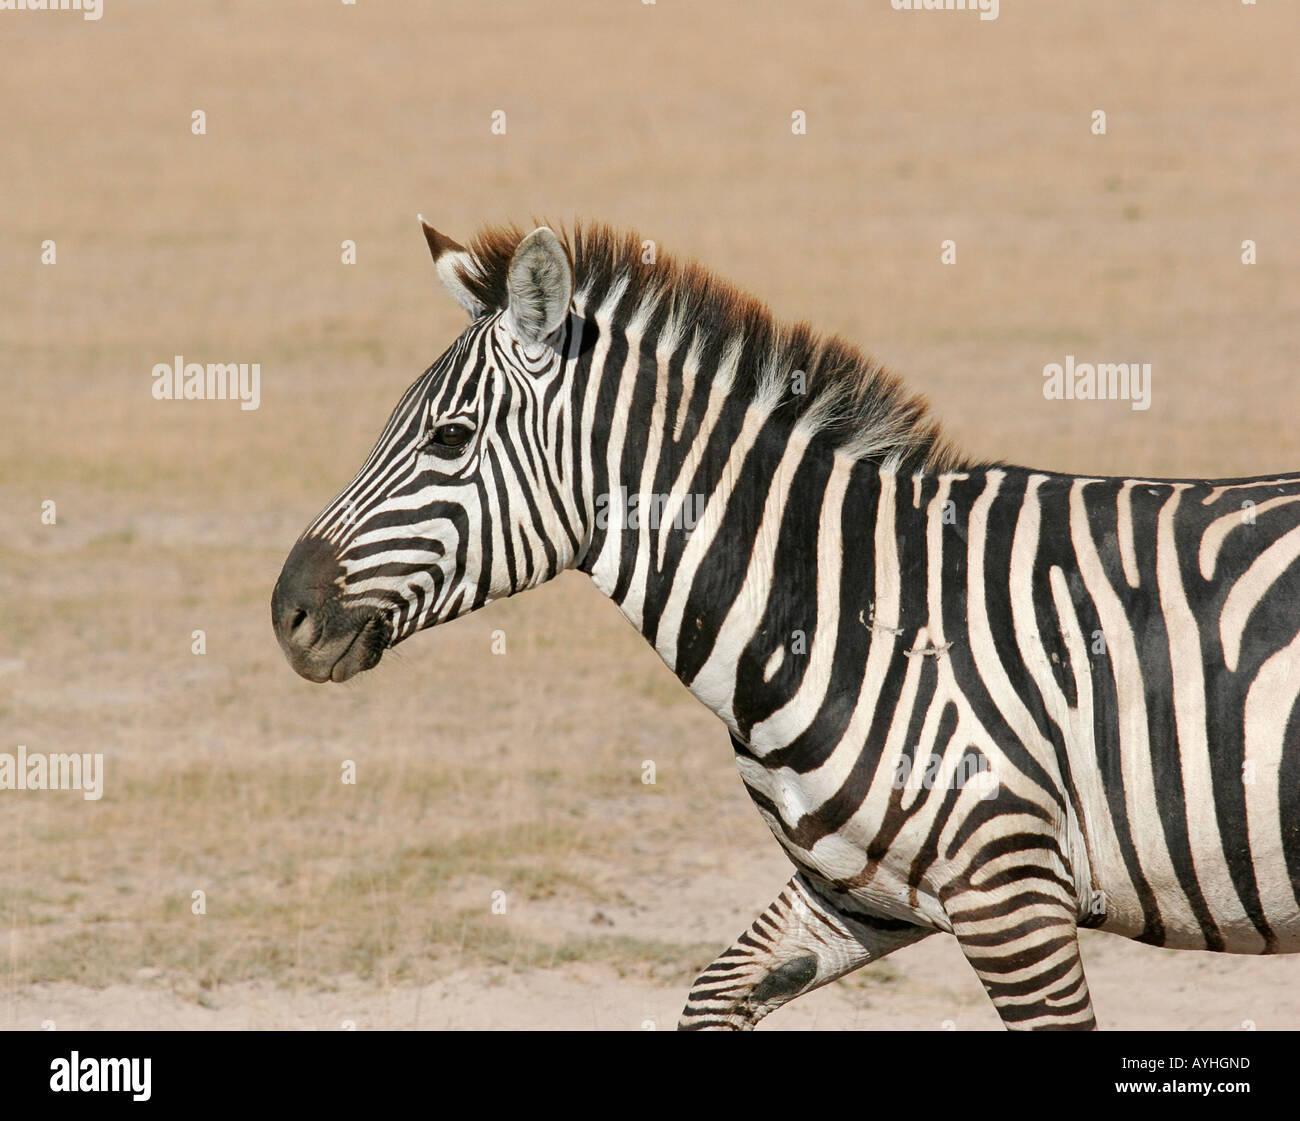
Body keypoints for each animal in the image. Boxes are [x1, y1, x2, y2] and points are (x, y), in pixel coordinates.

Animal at [272, 219, 1300, 1030]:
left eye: (448, 437)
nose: (287, 612)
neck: (852, 602)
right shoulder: (861, 889)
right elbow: (715, 990)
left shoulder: (1009, 887)